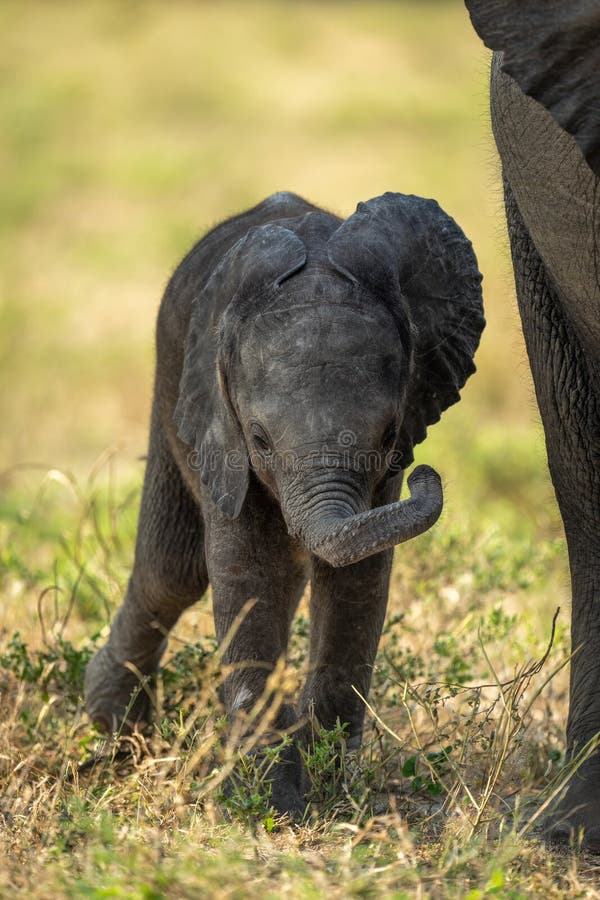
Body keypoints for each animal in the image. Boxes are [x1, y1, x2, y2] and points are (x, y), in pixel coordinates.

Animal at [84, 189, 484, 817]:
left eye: (390, 434)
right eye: (259, 438)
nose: (427, 474)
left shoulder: (380, 487)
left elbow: (358, 586)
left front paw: (330, 794)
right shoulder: (222, 434)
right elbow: (250, 578)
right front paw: (273, 808)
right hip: (172, 396)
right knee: (172, 572)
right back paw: (111, 731)